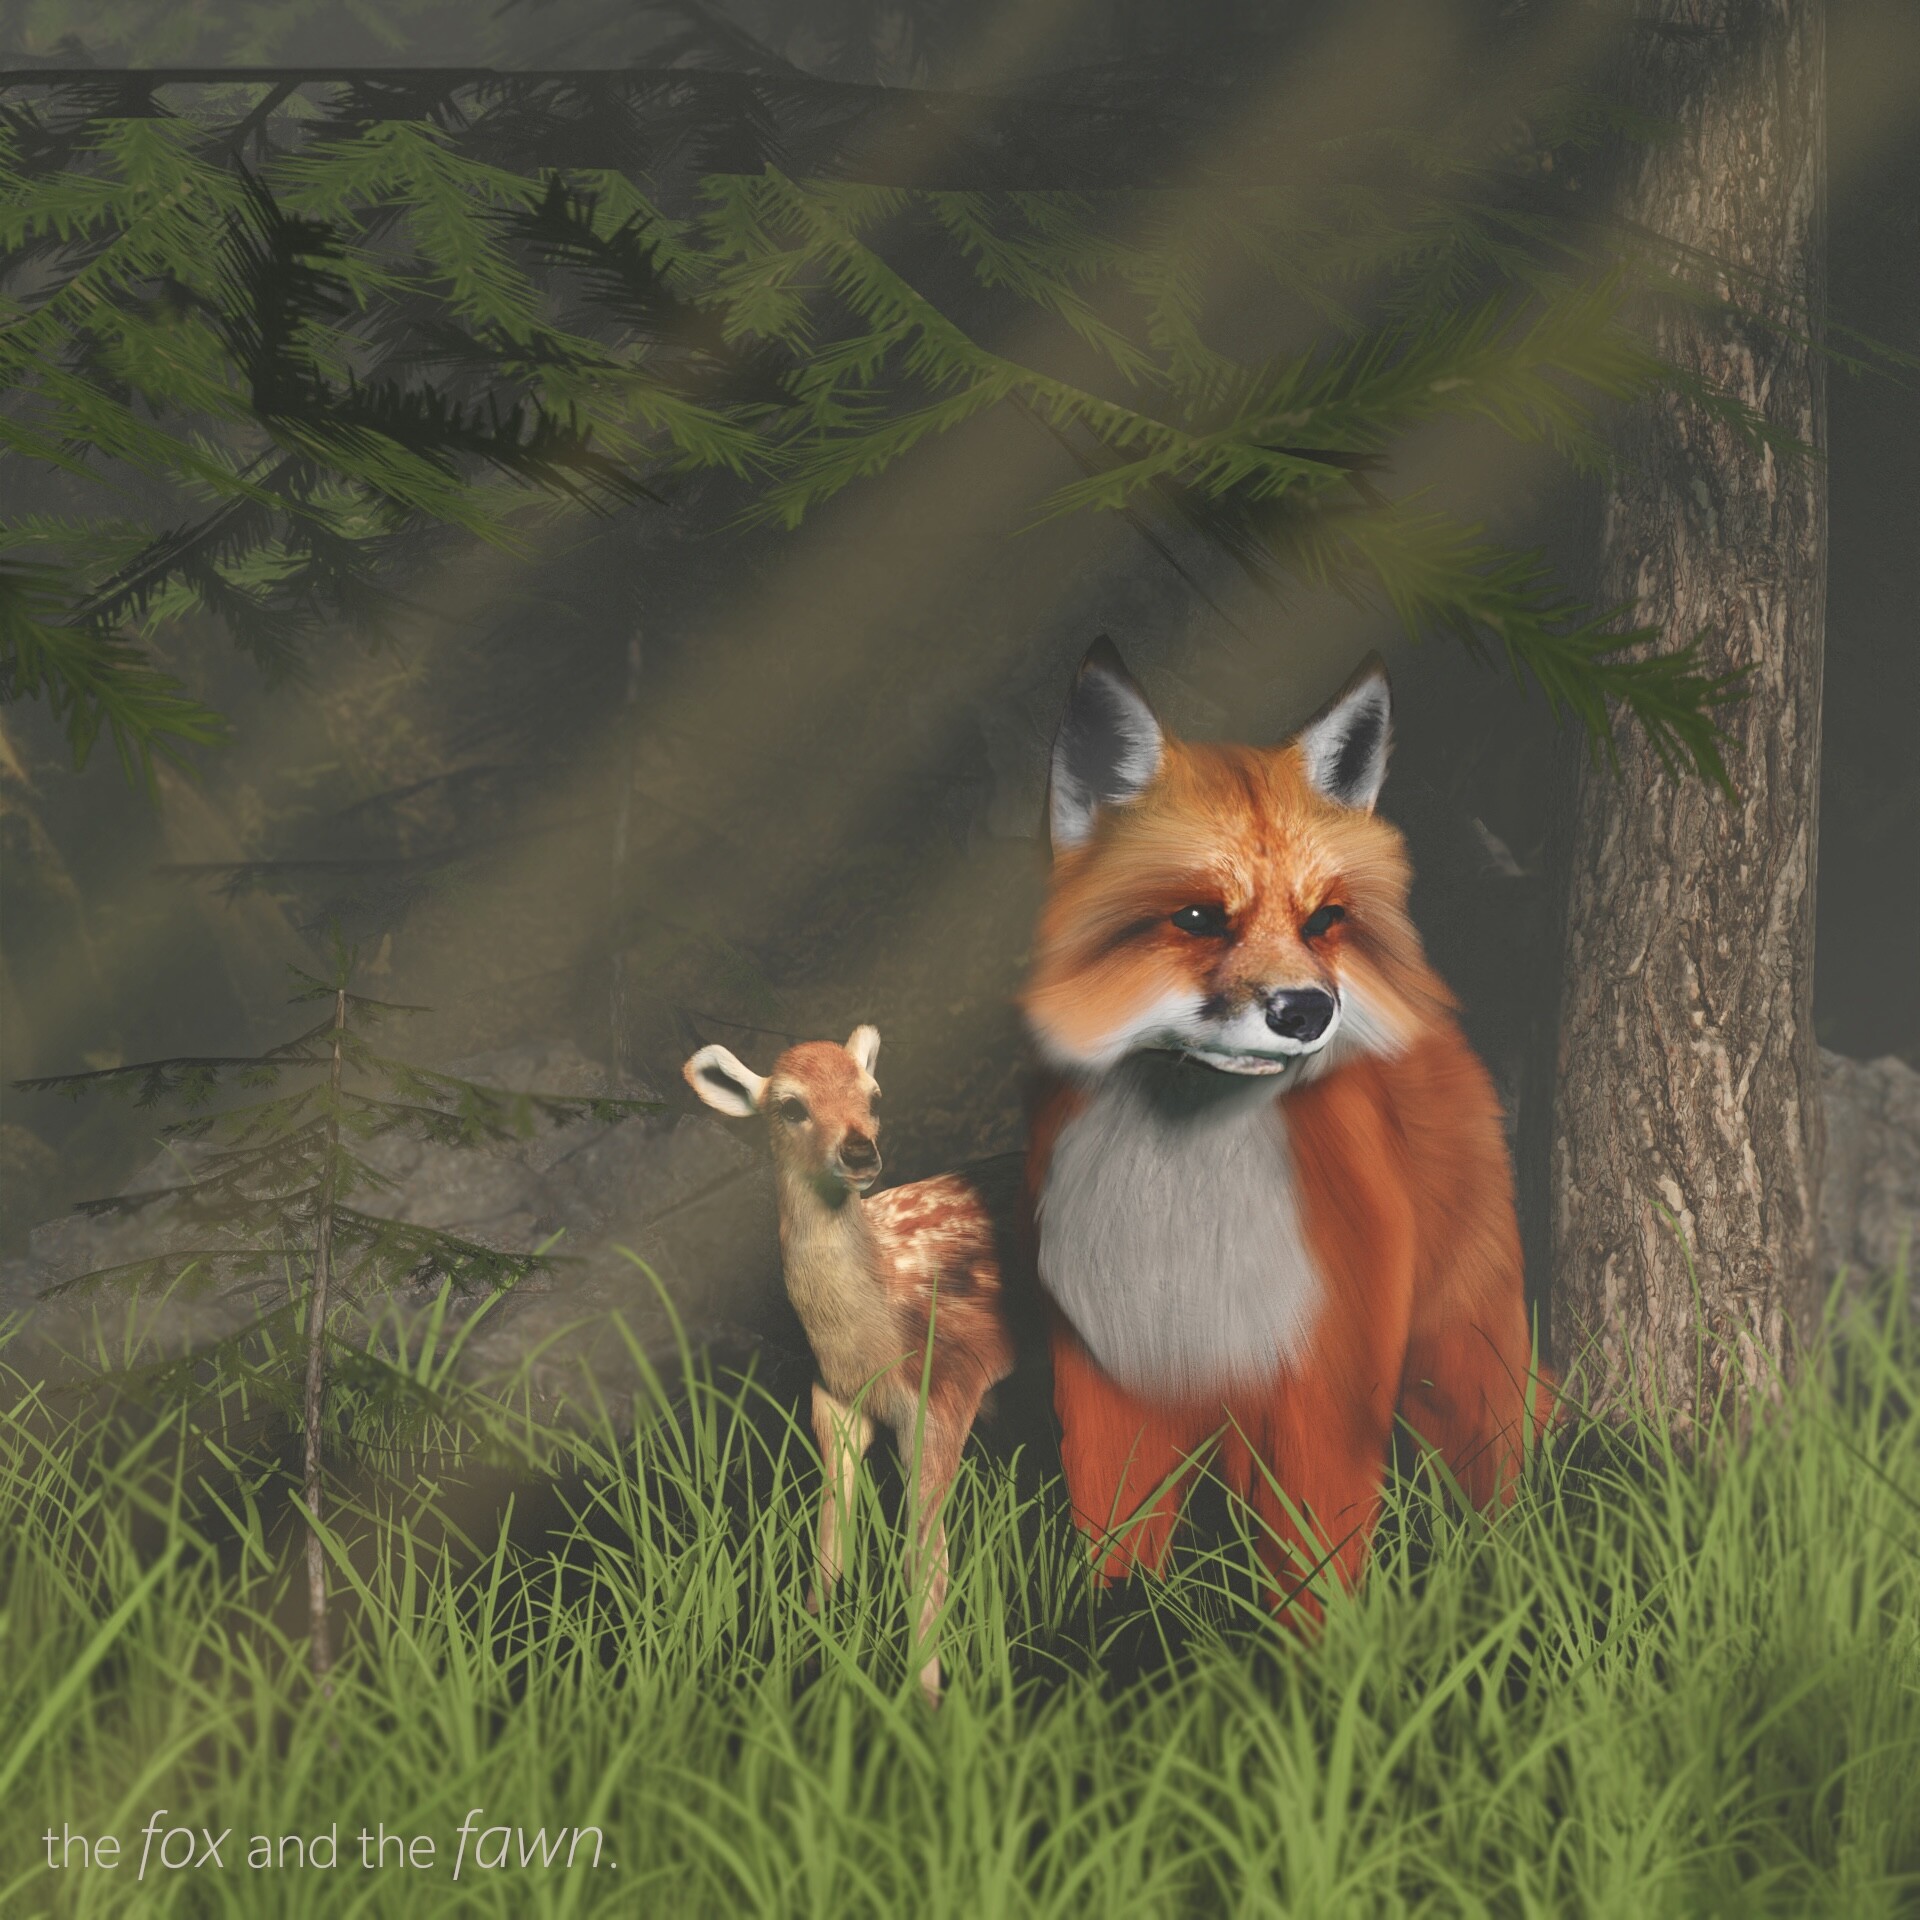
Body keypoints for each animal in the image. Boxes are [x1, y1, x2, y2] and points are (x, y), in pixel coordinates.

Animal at [682, 1025, 1016, 1705]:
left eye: (874, 1095)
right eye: (790, 1107)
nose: (860, 1152)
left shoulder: (944, 1393)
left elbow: (925, 1562)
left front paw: (926, 1701)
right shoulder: (830, 1402)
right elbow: (830, 1542)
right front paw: (804, 1660)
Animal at [1019, 637, 1555, 1622]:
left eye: (1322, 922)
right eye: (1199, 918)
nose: (1309, 1010)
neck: (1184, 1205)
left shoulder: (1323, 1378)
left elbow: (1315, 1568)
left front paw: (1320, 1659)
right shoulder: (1112, 1369)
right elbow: (1115, 1548)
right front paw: (1111, 1640)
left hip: (1460, 1355)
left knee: (1495, 1480)